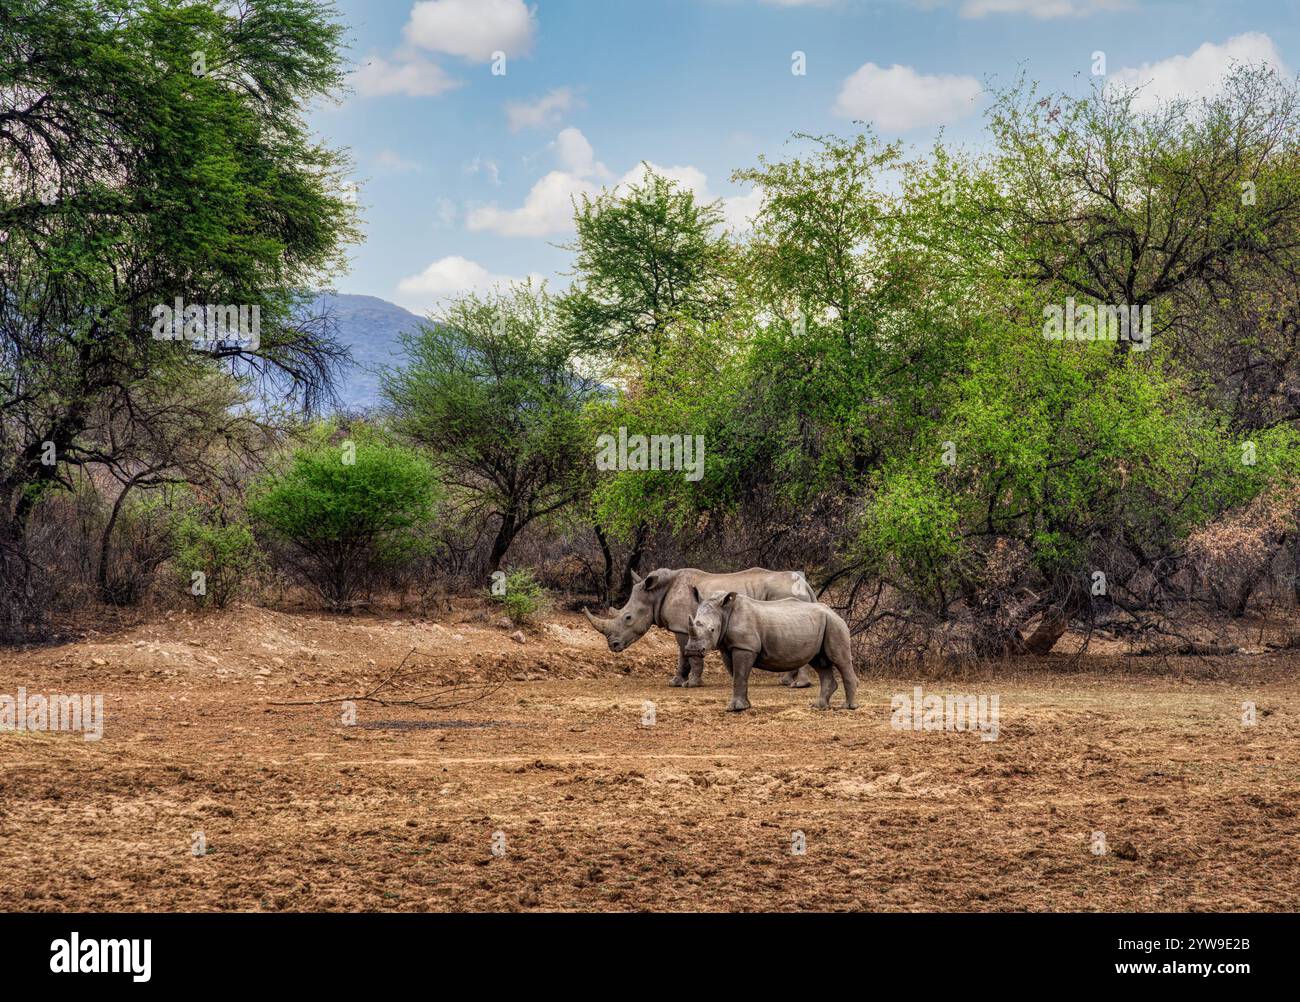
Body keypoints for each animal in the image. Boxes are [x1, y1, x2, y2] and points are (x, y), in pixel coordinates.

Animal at [582, 567, 816, 687]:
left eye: (628, 617)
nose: (613, 645)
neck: (656, 594)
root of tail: (806, 585)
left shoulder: (683, 627)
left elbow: (688, 655)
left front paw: (691, 683)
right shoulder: (683, 627)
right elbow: (682, 655)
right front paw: (676, 682)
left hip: (785, 593)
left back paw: (796, 685)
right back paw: (786, 682)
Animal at [685, 590, 858, 713]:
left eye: (712, 629)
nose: (693, 651)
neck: (724, 611)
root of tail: (835, 613)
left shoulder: (744, 646)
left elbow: (739, 675)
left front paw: (736, 709)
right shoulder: (728, 648)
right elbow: (737, 676)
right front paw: (744, 706)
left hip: (834, 624)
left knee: (840, 660)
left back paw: (848, 707)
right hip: (824, 625)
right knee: (819, 662)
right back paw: (819, 706)